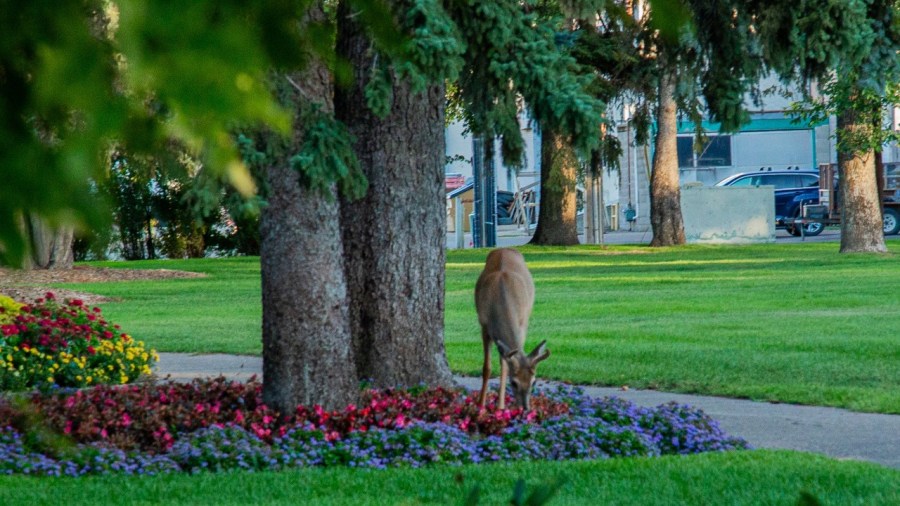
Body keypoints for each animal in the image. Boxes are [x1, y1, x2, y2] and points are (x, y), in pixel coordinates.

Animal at [475, 248, 549, 410]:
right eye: (514, 383)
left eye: (534, 382)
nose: (525, 408)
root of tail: (504, 249)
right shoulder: (484, 326)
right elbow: (487, 368)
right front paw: (480, 406)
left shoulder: (522, 324)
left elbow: (504, 365)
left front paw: (501, 407)